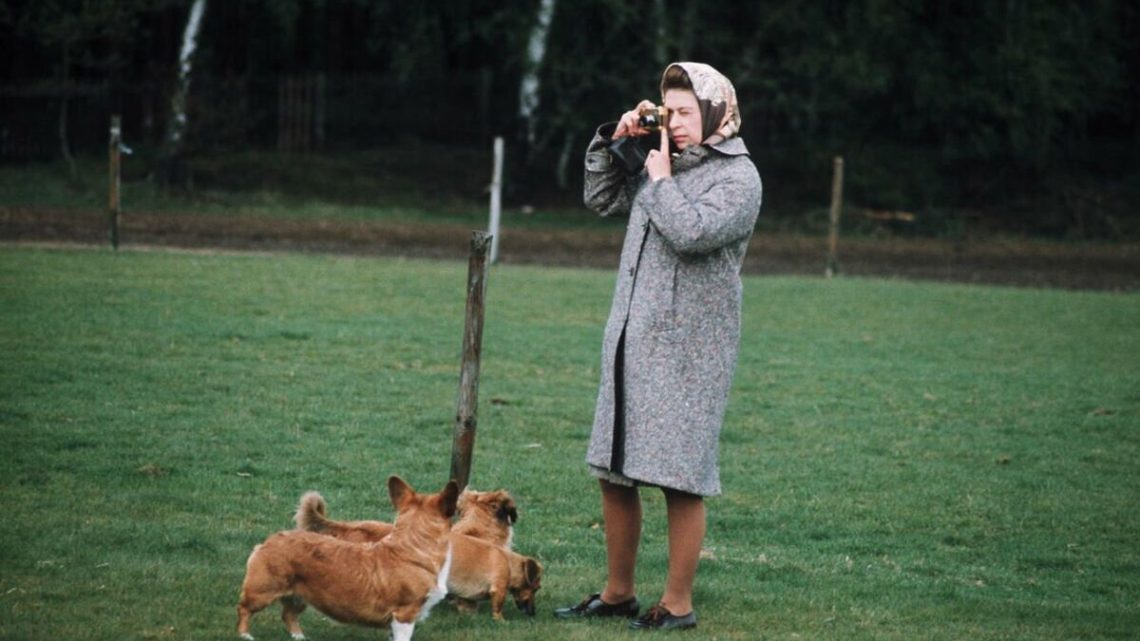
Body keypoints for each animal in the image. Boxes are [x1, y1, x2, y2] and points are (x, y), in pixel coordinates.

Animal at [235, 474, 458, 638]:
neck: (413, 547)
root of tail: (268, 542)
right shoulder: (404, 615)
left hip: (300, 595)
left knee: (288, 615)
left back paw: (299, 637)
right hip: (262, 592)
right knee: (243, 609)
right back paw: (245, 635)